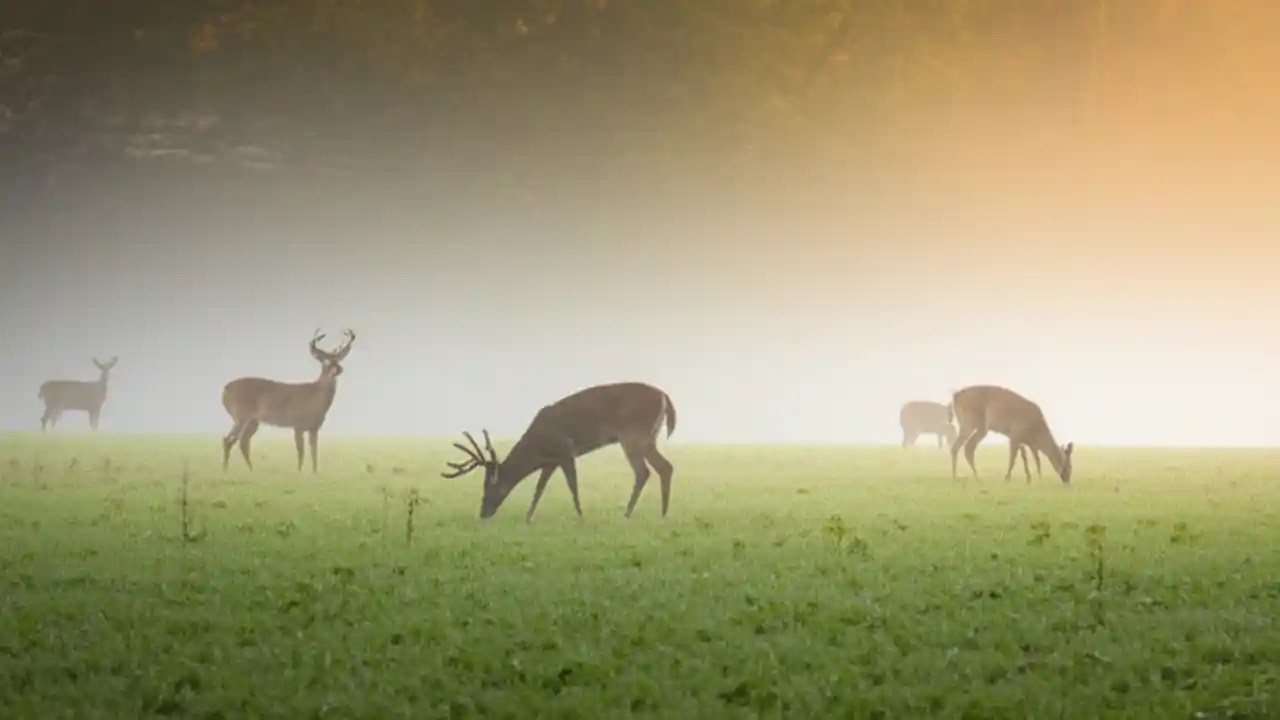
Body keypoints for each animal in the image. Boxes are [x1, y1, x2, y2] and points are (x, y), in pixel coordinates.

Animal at [220, 329, 355, 473]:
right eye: (324, 361)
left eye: (339, 359)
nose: (337, 370)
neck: (314, 397)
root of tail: (225, 390)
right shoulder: (297, 424)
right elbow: (301, 451)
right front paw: (299, 472)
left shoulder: (314, 427)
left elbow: (314, 452)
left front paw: (314, 473)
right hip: (240, 416)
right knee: (228, 439)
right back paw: (226, 470)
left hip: (252, 421)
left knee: (241, 441)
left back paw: (251, 469)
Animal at [441, 382, 677, 521]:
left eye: (489, 487)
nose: (483, 513)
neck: (537, 447)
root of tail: (665, 396)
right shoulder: (550, 462)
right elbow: (539, 488)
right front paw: (528, 517)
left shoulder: (565, 451)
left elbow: (572, 485)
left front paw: (580, 515)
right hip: (649, 437)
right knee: (664, 467)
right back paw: (662, 513)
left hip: (634, 435)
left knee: (645, 471)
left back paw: (628, 513)